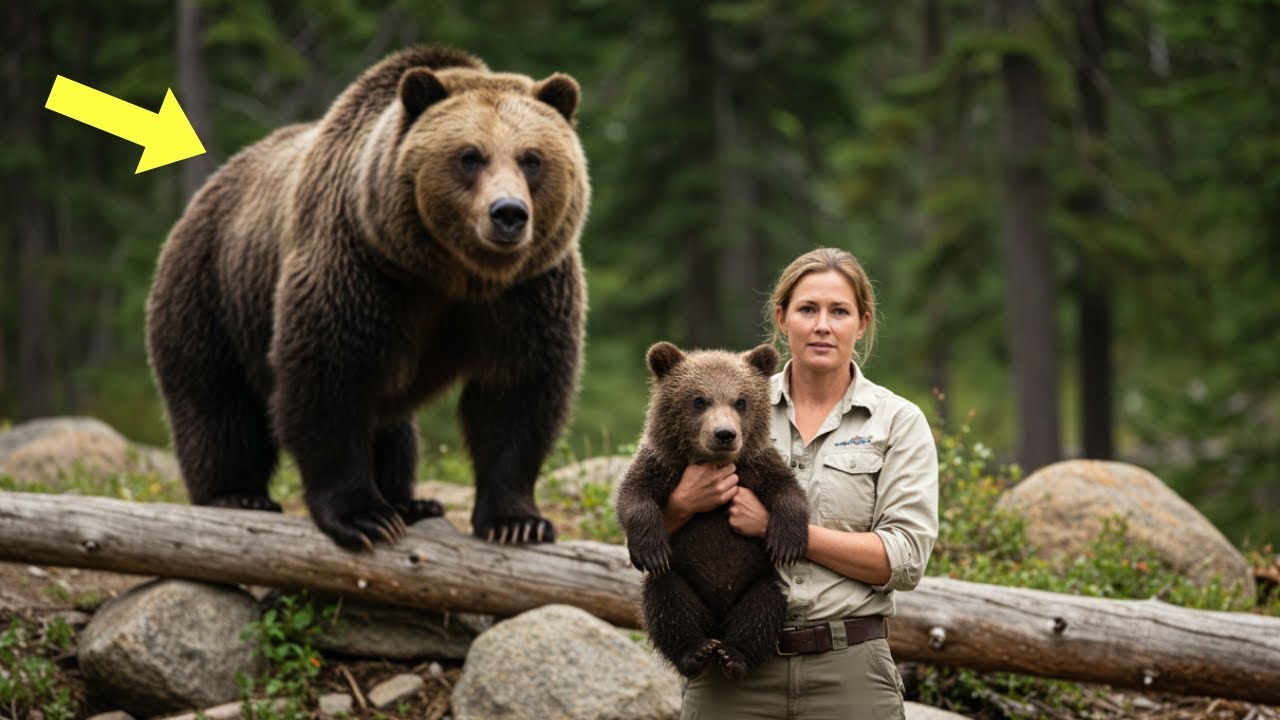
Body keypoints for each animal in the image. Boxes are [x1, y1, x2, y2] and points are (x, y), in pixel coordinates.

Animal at [145, 45, 589, 551]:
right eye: (470, 156)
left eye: (532, 159)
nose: (508, 214)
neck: (453, 271)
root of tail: (206, 190)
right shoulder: (362, 268)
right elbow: (330, 381)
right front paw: (364, 517)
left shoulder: (526, 293)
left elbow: (517, 394)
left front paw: (517, 521)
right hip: (213, 289)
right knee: (217, 402)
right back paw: (237, 494)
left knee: (393, 428)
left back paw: (411, 501)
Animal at [615, 342, 810, 680]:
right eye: (699, 400)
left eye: (741, 401)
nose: (724, 434)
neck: (712, 462)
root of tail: (717, 623)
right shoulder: (661, 464)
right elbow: (633, 498)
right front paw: (650, 549)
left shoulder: (756, 465)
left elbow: (789, 492)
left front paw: (787, 543)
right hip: (683, 581)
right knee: (667, 601)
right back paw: (693, 652)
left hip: (753, 583)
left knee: (762, 607)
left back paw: (734, 656)